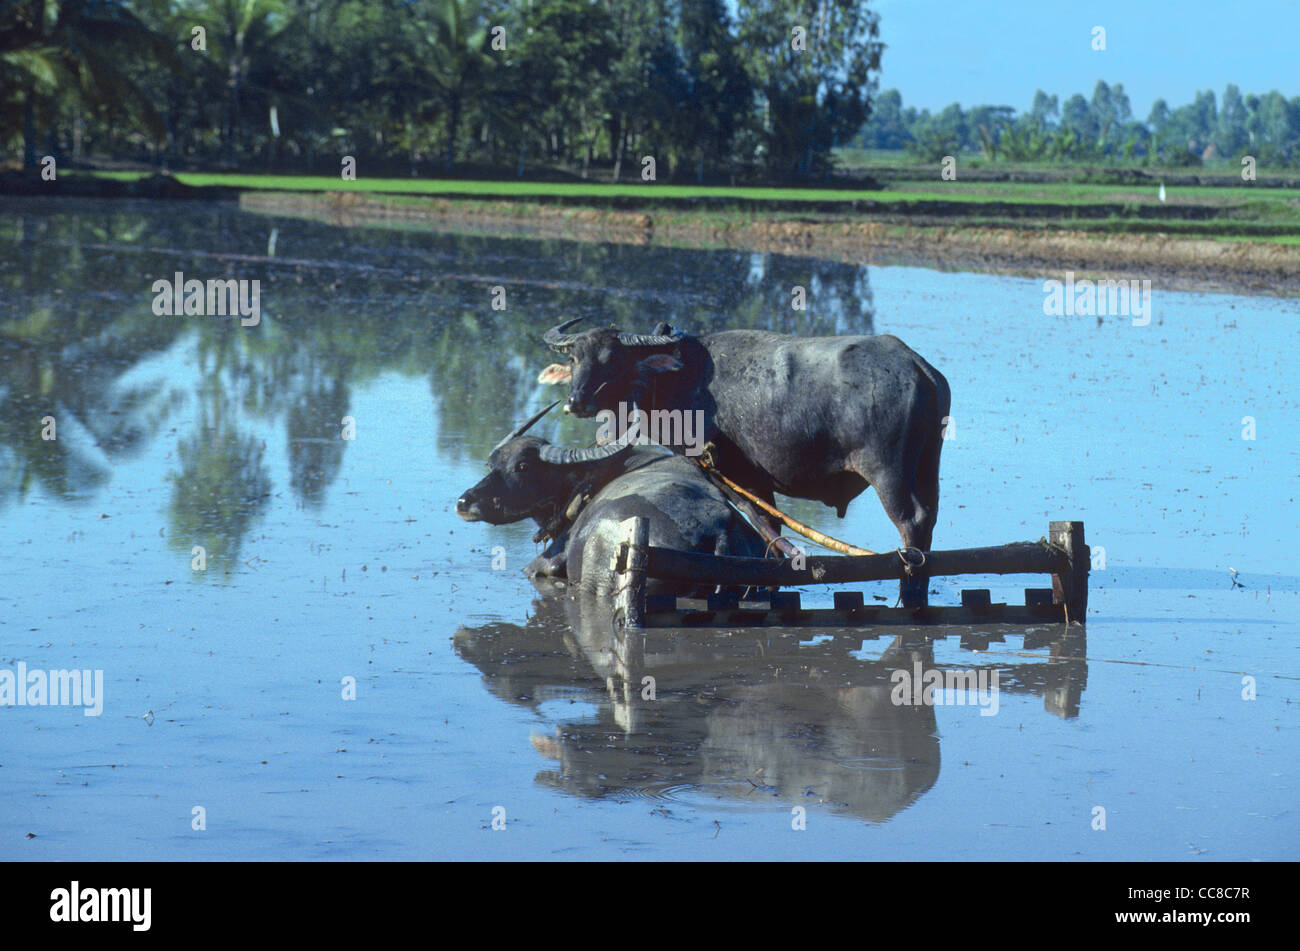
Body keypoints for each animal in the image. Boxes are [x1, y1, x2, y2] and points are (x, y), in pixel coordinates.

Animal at [539, 319, 951, 606]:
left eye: (613, 361)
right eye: (575, 358)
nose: (575, 402)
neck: (685, 378)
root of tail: (919, 368)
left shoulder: (740, 472)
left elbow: (765, 523)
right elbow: (771, 527)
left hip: (888, 472)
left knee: (911, 522)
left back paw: (910, 590)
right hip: (928, 466)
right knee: (929, 518)